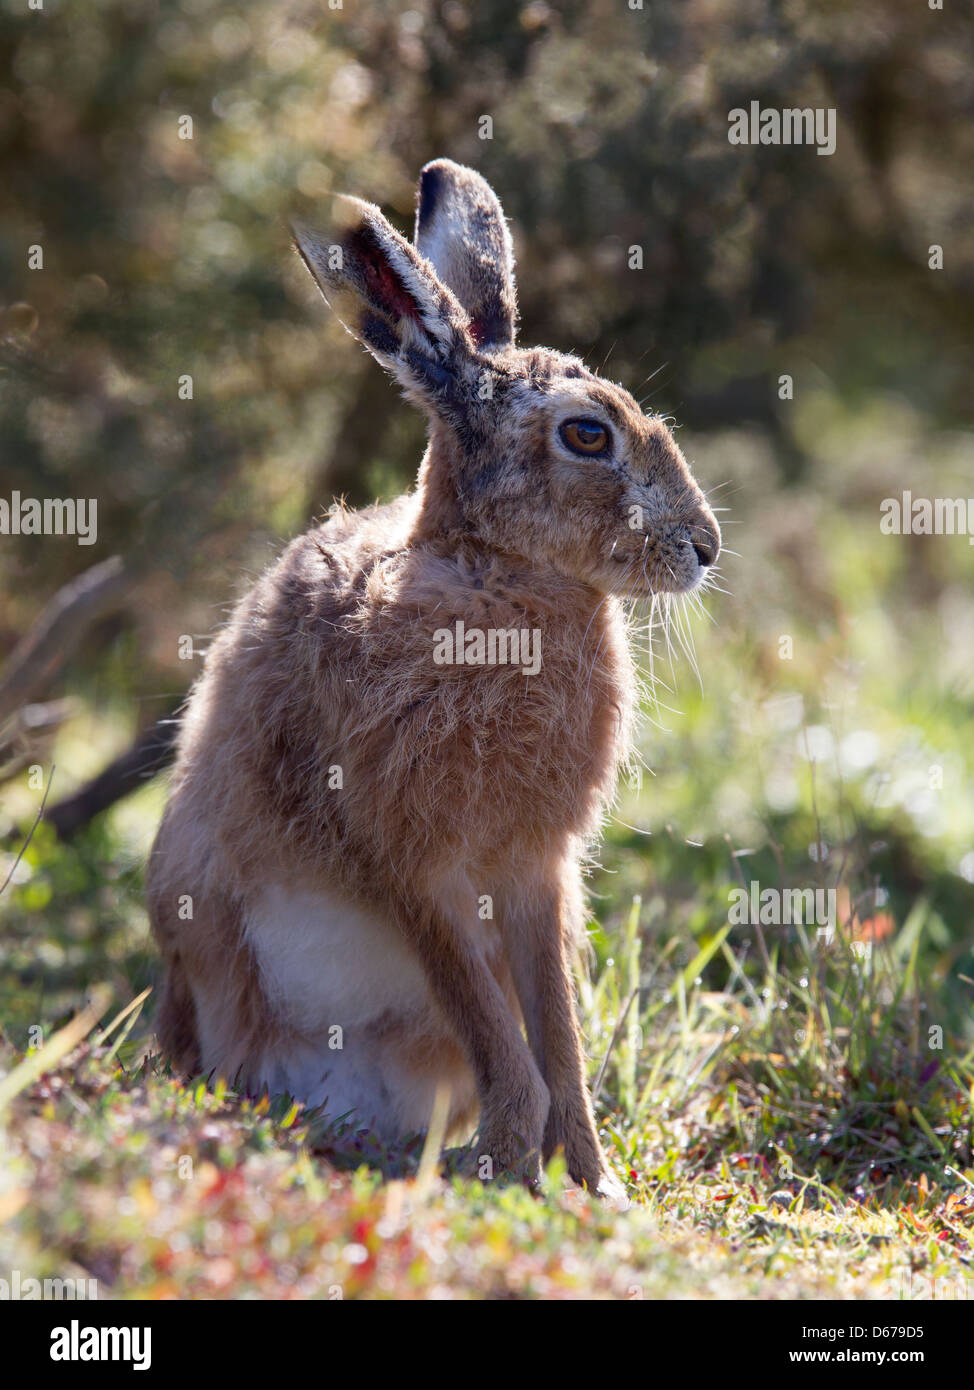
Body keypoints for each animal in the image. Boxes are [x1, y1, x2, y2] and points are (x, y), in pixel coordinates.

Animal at [146, 158, 720, 1202]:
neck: (498, 581)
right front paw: (511, 1168)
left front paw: (591, 1184)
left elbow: (557, 1038)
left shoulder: (538, 870)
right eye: (588, 436)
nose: (704, 548)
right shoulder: (412, 861)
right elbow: (501, 1034)